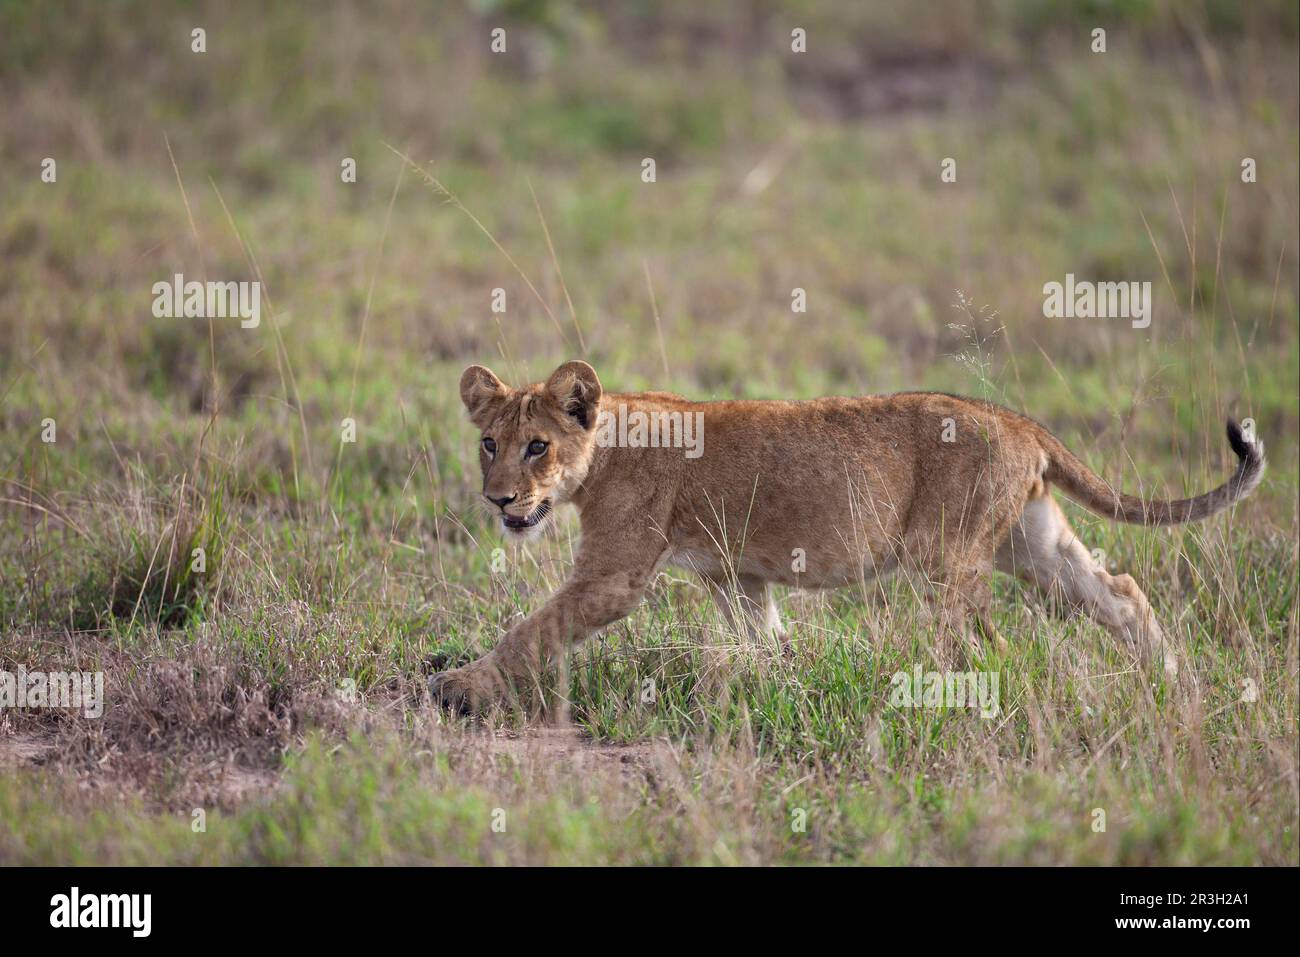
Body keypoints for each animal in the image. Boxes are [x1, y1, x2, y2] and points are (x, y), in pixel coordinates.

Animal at [428, 359, 1265, 713]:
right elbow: (764, 638)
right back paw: (1177, 682)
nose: (498, 498)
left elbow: (533, 629)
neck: (603, 446)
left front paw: (462, 684)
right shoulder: (736, 575)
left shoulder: (613, 575)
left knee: (978, 643)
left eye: (537, 446)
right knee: (1120, 591)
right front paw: (776, 681)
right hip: (1032, 541)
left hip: (944, 555)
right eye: (489, 442)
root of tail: (1019, 420)